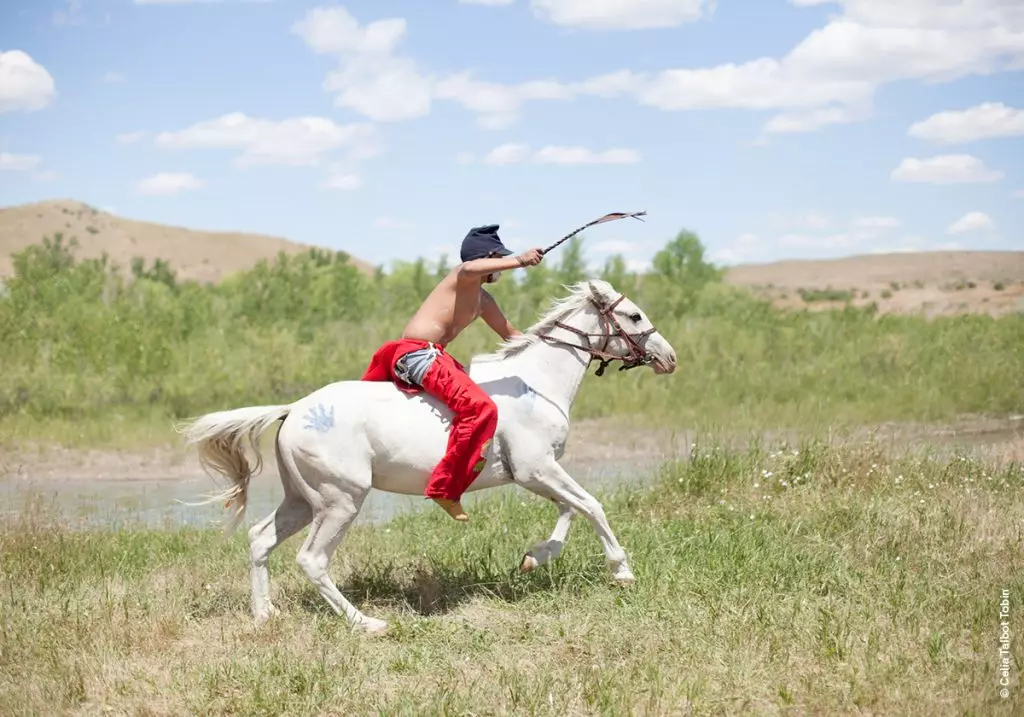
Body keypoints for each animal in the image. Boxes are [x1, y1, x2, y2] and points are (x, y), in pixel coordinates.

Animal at [178, 280, 671, 630]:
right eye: (633, 314)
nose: (670, 357)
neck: (534, 384)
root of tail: (293, 409)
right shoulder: (538, 469)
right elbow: (592, 505)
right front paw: (622, 571)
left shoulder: (535, 473)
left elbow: (571, 509)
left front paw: (535, 557)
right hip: (341, 501)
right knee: (312, 560)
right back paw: (368, 624)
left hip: (302, 500)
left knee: (260, 538)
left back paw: (266, 615)